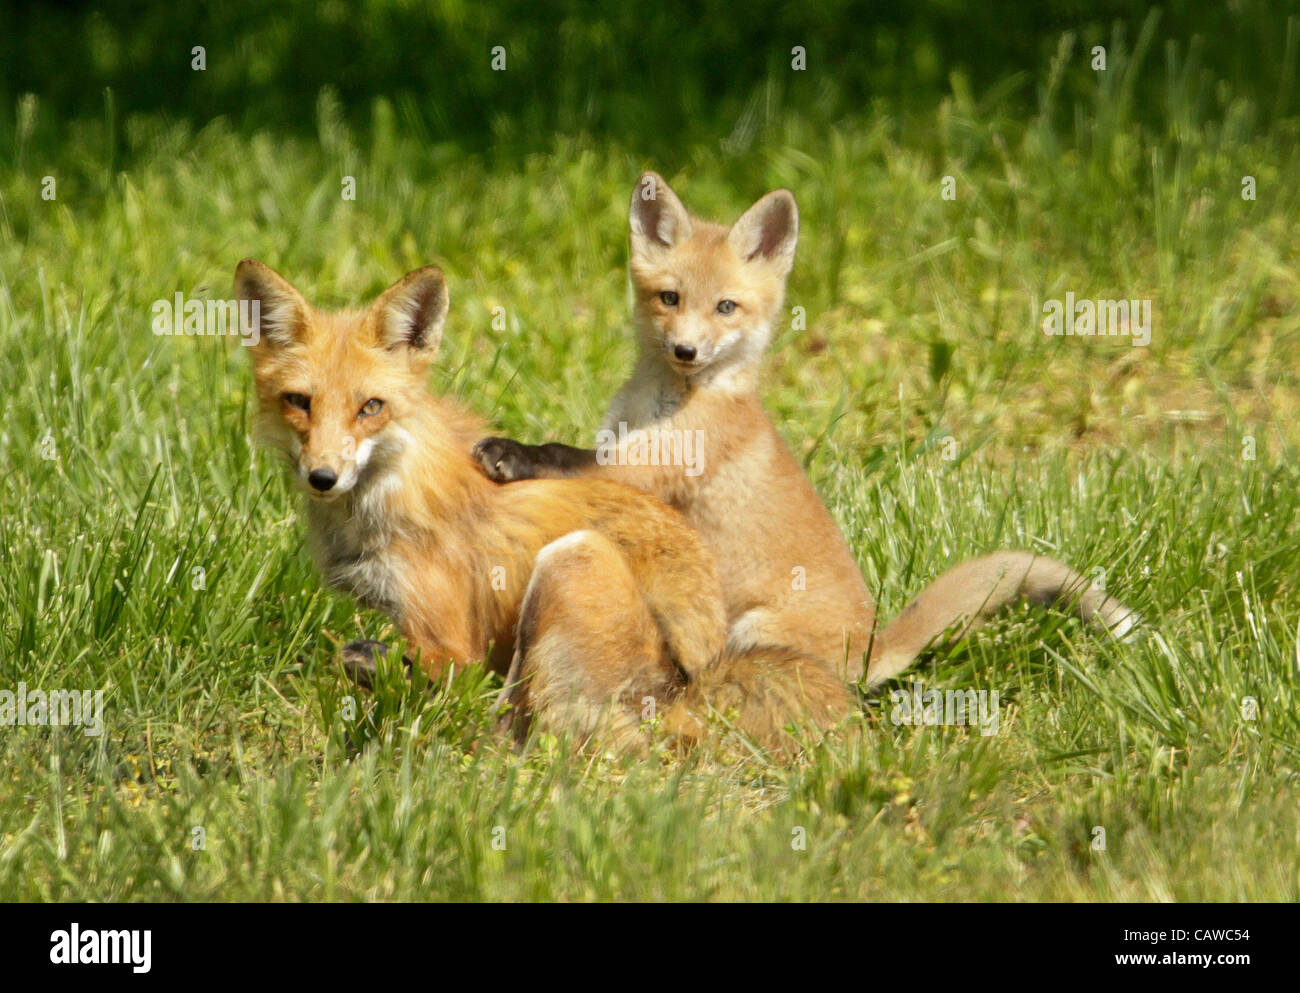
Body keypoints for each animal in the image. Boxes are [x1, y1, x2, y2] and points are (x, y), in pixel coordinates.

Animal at [236, 258, 853, 754]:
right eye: (299, 402)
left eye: (370, 407)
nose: (323, 477)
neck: (388, 489)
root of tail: (686, 695)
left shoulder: (450, 641)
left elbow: (436, 678)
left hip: (573, 562)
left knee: (525, 732)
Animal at [474, 172, 1139, 689]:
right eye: (670, 297)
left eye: (726, 307)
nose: (687, 351)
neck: (664, 402)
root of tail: (870, 652)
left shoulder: (653, 464)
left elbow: (565, 456)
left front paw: (510, 452)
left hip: (755, 628)